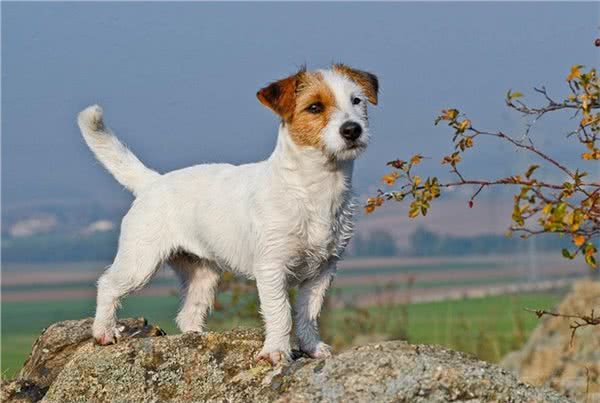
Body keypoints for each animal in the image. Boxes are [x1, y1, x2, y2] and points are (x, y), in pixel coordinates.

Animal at [78, 64, 380, 366]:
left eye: (356, 100)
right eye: (315, 107)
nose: (352, 130)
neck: (313, 189)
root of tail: (153, 182)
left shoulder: (322, 271)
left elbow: (308, 313)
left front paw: (312, 347)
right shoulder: (272, 268)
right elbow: (280, 312)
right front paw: (276, 352)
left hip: (203, 275)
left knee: (188, 313)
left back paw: (196, 339)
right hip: (140, 262)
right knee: (108, 284)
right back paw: (104, 331)